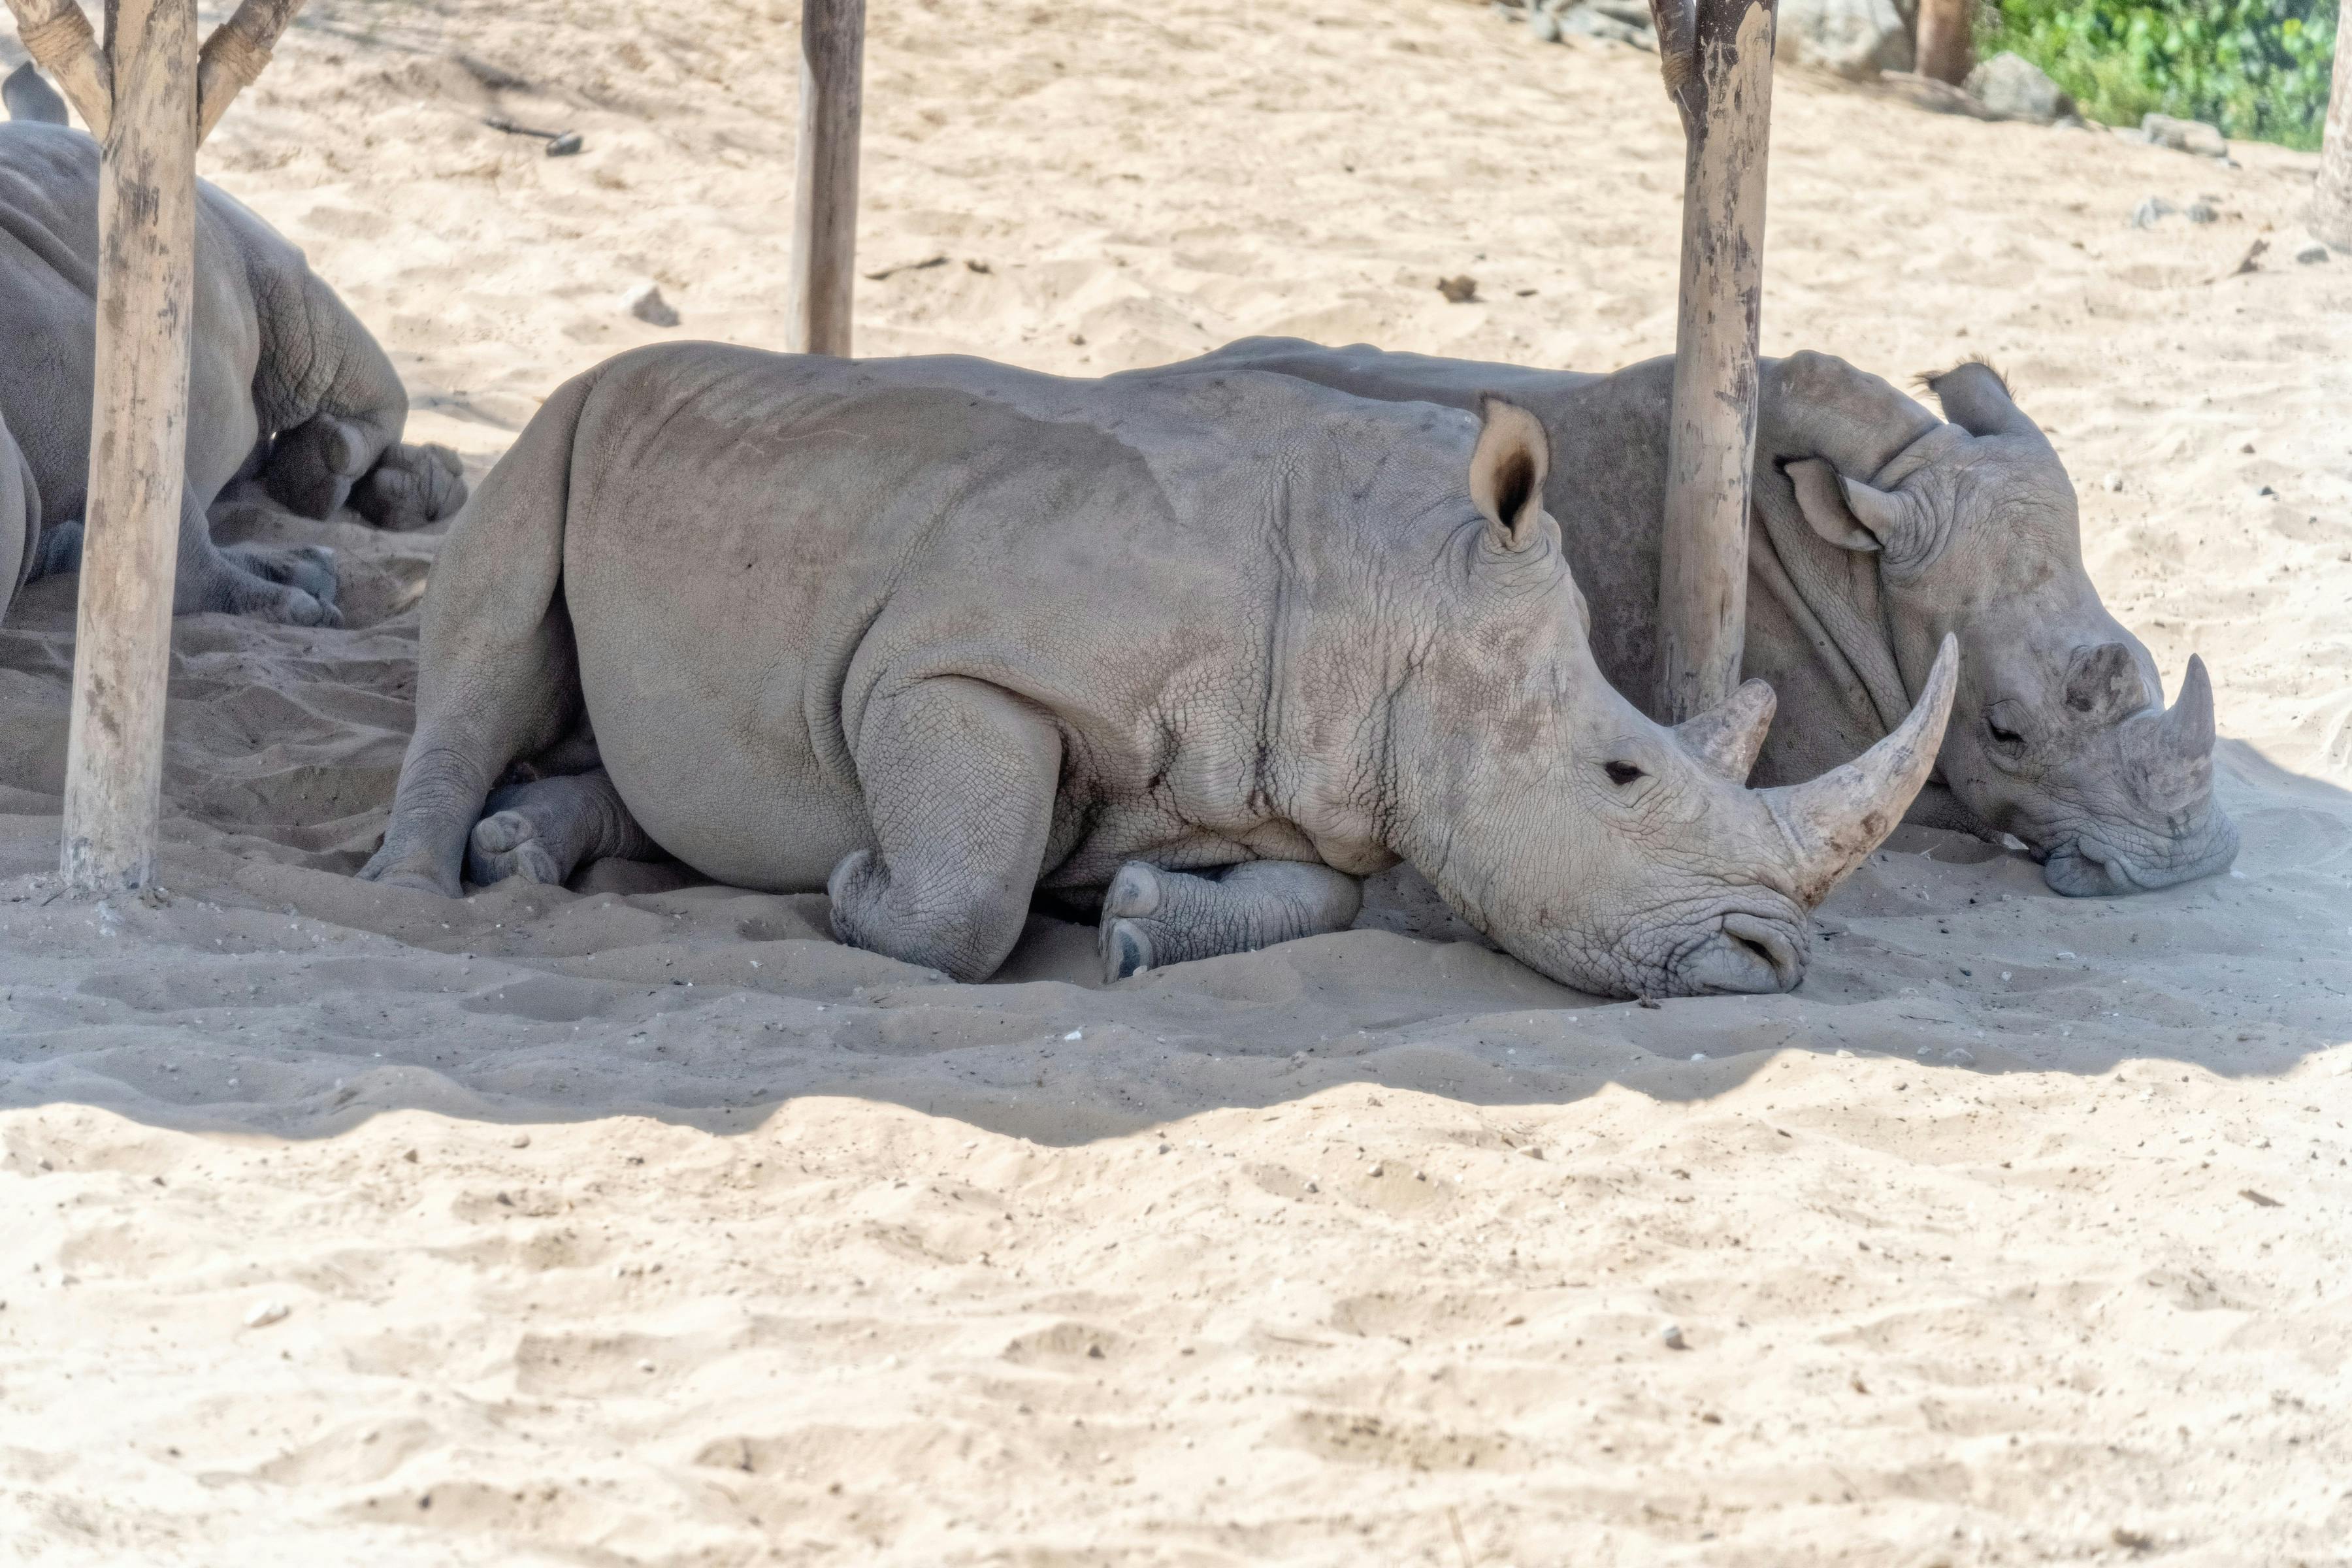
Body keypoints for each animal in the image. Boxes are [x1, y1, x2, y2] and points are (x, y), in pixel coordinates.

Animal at [360, 344, 1959, 997]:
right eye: (1624, 774)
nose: (1776, 960)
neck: (1393, 599)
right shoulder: (949, 673)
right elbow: (964, 897)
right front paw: (856, 888)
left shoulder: (1303, 770)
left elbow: (1318, 900)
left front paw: (1132, 923)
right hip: (561, 420)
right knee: (488, 630)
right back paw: (415, 896)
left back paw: (524, 856)